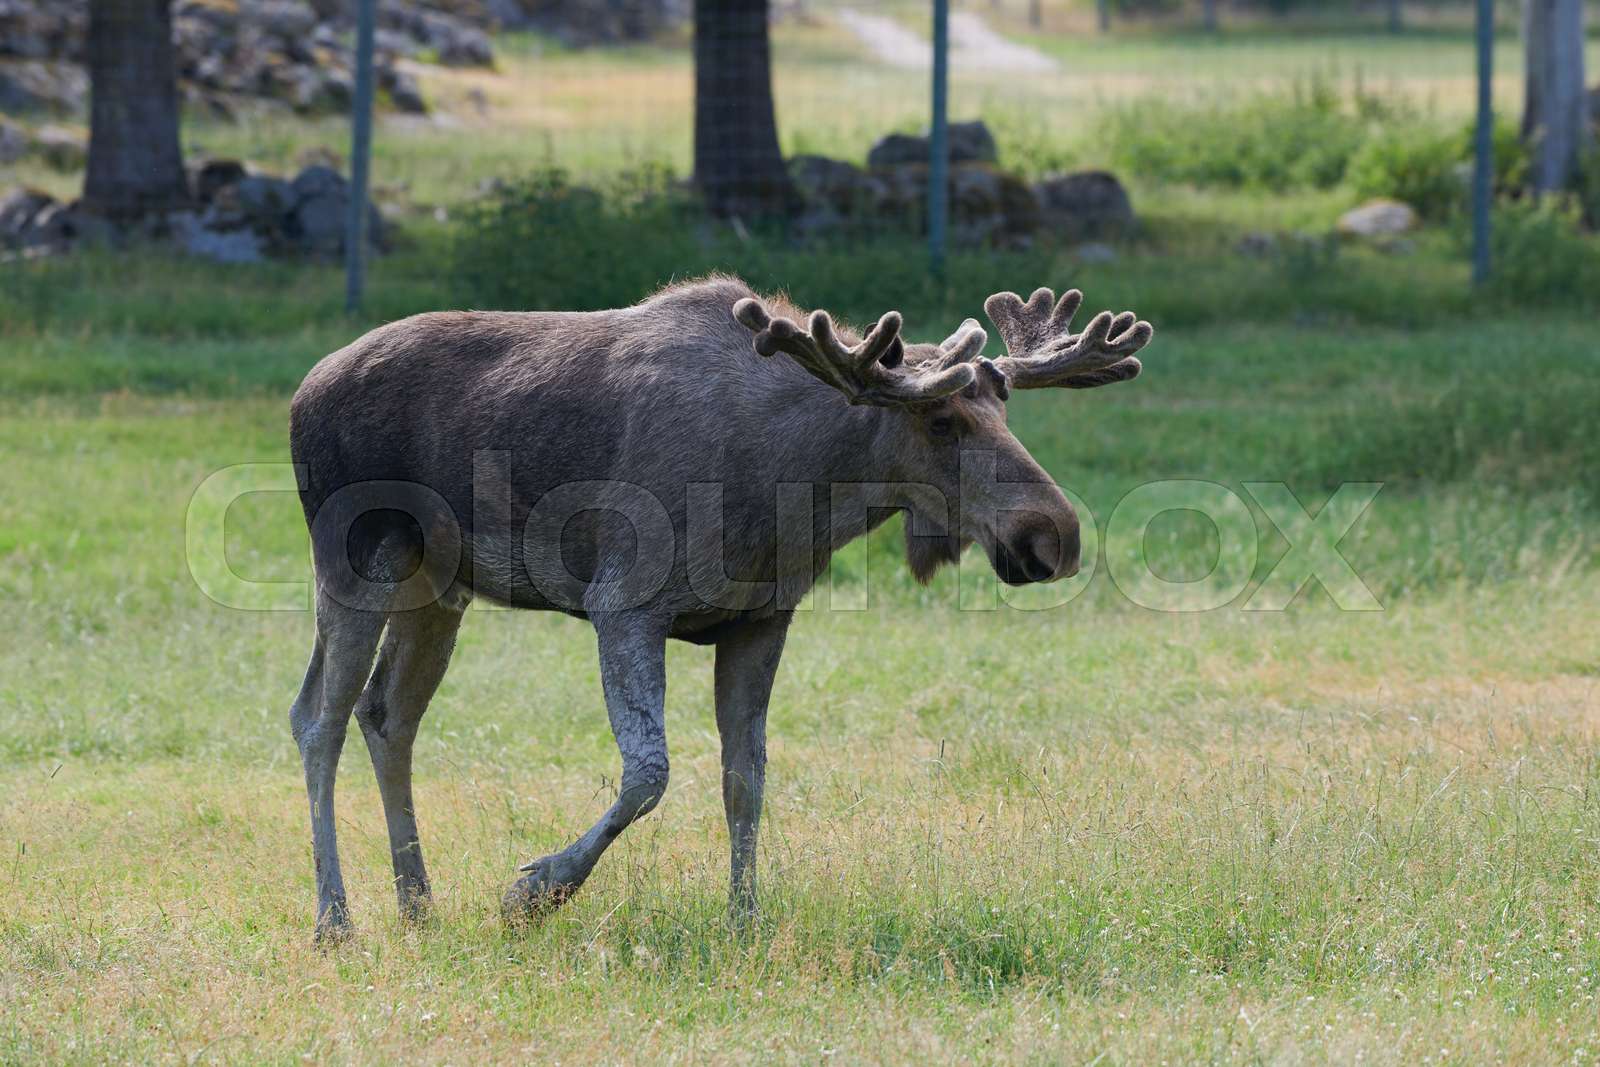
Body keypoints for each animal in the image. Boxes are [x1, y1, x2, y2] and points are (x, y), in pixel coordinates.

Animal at [286, 276, 1152, 939]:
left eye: (1006, 412)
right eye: (941, 420)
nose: (1054, 533)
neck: (790, 490)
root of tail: (301, 394)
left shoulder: (762, 617)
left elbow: (747, 776)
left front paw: (744, 920)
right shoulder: (624, 600)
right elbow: (650, 770)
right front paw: (535, 889)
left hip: (439, 581)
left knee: (387, 713)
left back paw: (418, 904)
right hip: (355, 554)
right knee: (317, 716)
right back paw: (336, 918)